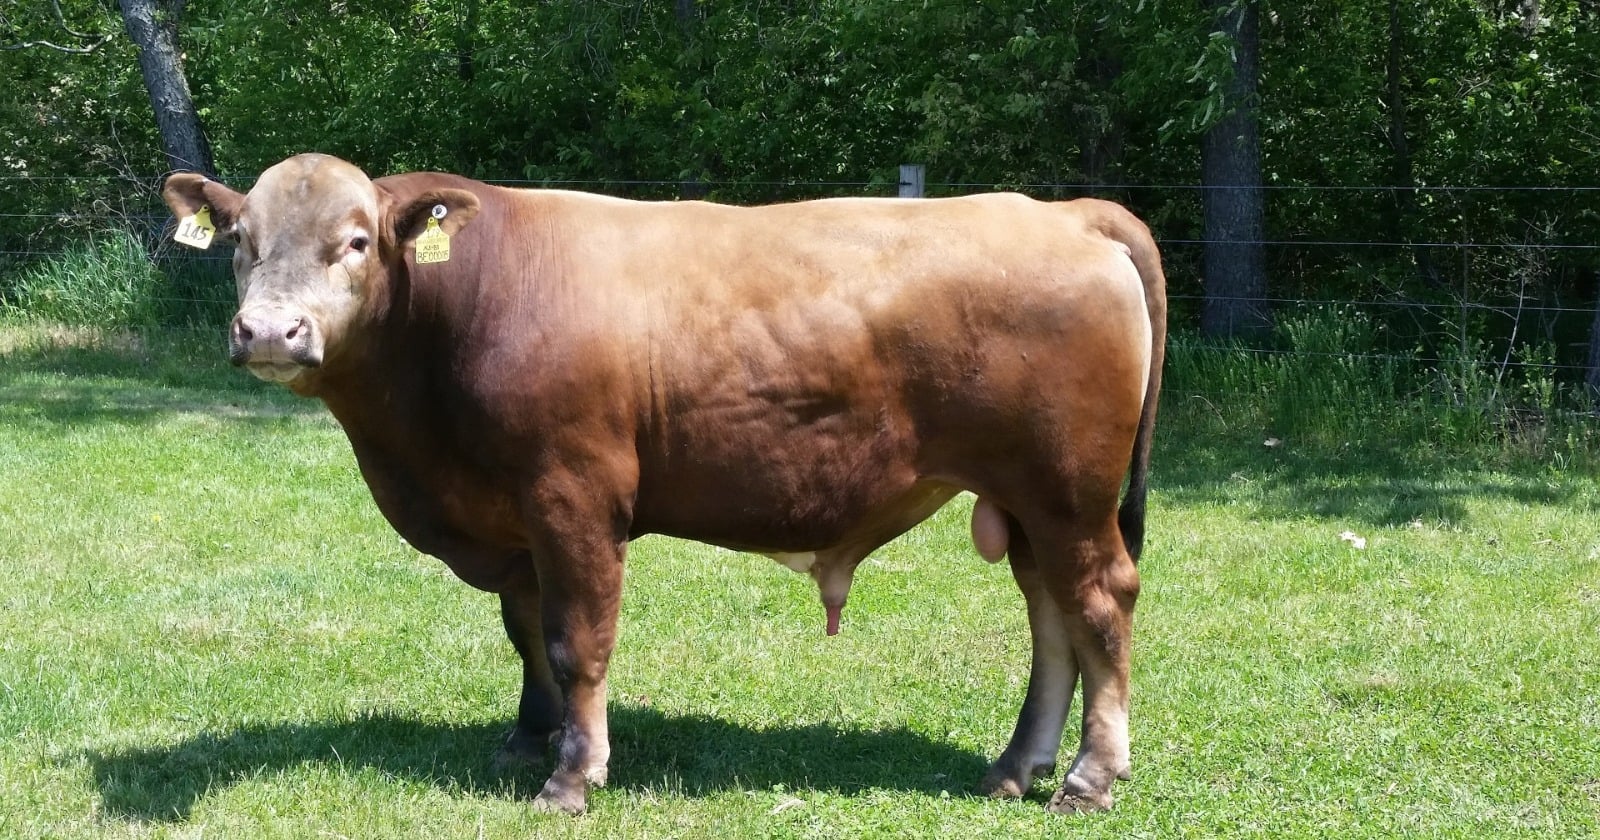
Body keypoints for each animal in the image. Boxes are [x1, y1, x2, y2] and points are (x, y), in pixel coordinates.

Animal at [161, 153, 1166, 816]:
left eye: (357, 241)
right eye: (240, 240)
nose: (269, 332)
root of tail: (1066, 212)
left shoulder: (573, 496)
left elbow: (577, 641)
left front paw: (572, 776)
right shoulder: (514, 519)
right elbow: (526, 633)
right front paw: (527, 737)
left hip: (1068, 492)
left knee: (1101, 606)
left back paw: (1090, 778)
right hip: (1029, 503)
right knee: (1051, 618)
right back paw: (1015, 766)